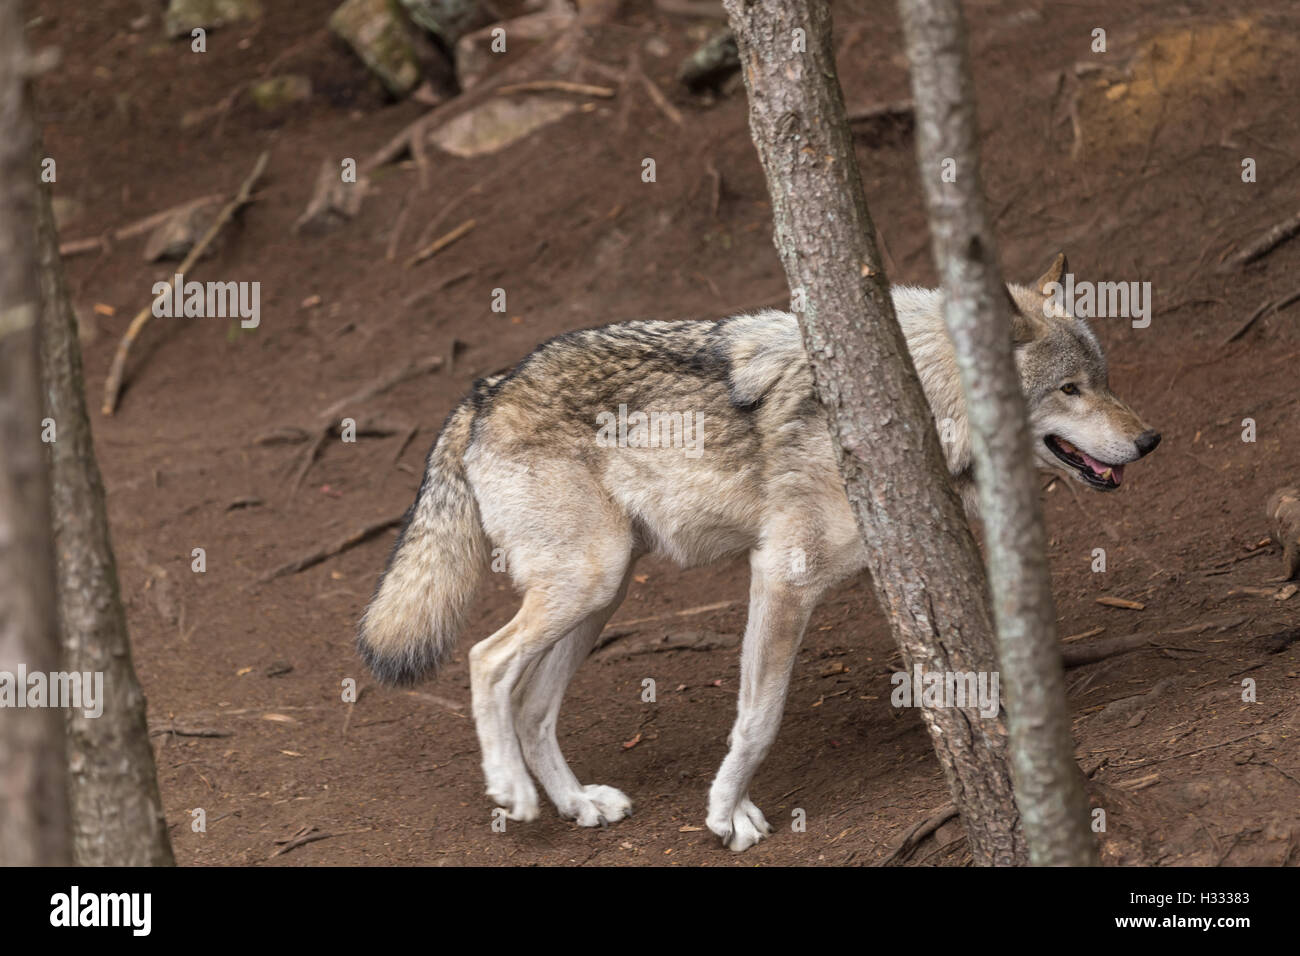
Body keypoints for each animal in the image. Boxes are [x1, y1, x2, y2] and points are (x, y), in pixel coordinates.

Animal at [358, 253, 1159, 851]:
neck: (920, 398)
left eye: (1105, 381)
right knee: (485, 661)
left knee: (530, 707)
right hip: (586, 583)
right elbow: (759, 718)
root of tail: (485, 390)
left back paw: (579, 803)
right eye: (1069, 389)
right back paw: (513, 790)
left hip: (602, 594)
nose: (1151, 439)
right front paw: (725, 813)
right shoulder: (782, 576)